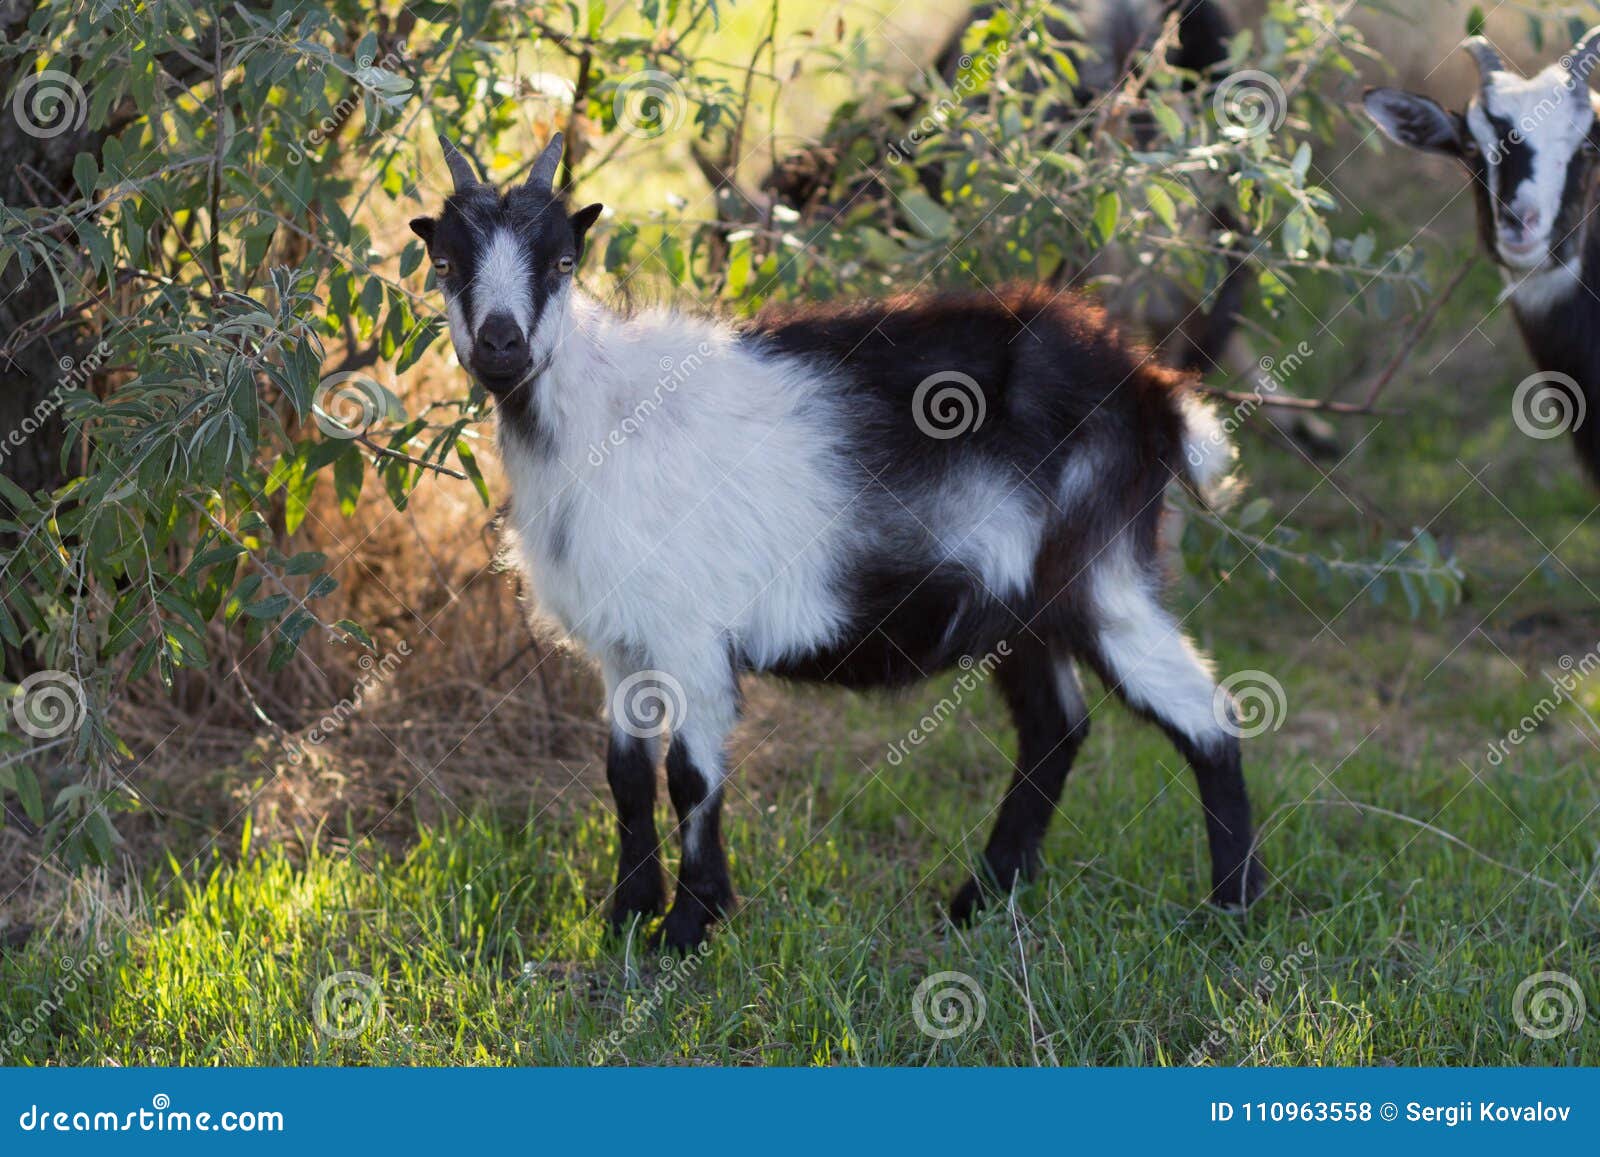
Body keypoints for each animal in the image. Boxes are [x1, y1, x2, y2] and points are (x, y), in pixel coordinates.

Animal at [409, 132, 1264, 950]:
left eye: (562, 260)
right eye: (445, 261)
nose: (502, 345)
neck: (593, 415)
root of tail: (1156, 393)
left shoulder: (690, 634)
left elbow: (690, 776)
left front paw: (688, 927)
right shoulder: (621, 642)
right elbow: (625, 774)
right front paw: (628, 915)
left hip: (1100, 575)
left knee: (1208, 717)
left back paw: (1232, 911)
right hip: (1019, 601)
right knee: (1056, 727)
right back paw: (979, 899)